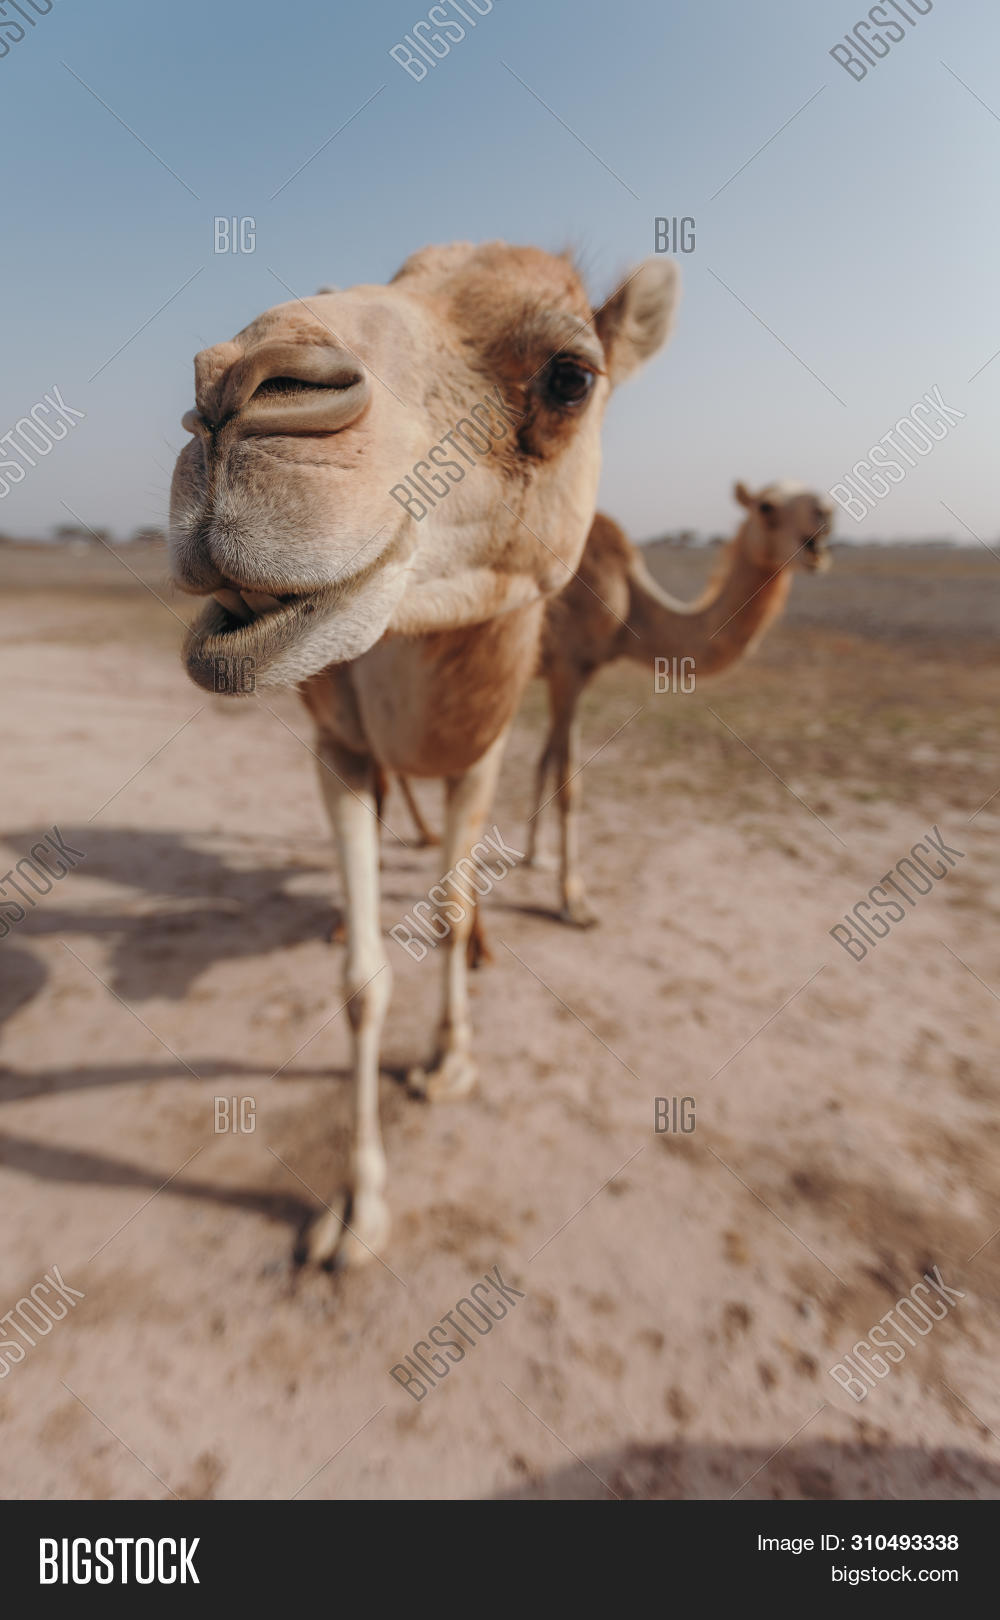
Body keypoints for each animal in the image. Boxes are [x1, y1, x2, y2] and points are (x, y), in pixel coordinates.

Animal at [168, 241, 679, 1267]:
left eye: (572, 376)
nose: (229, 396)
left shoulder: (481, 750)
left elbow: (447, 912)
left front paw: (450, 1061)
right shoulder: (338, 750)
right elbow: (363, 979)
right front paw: (356, 1210)